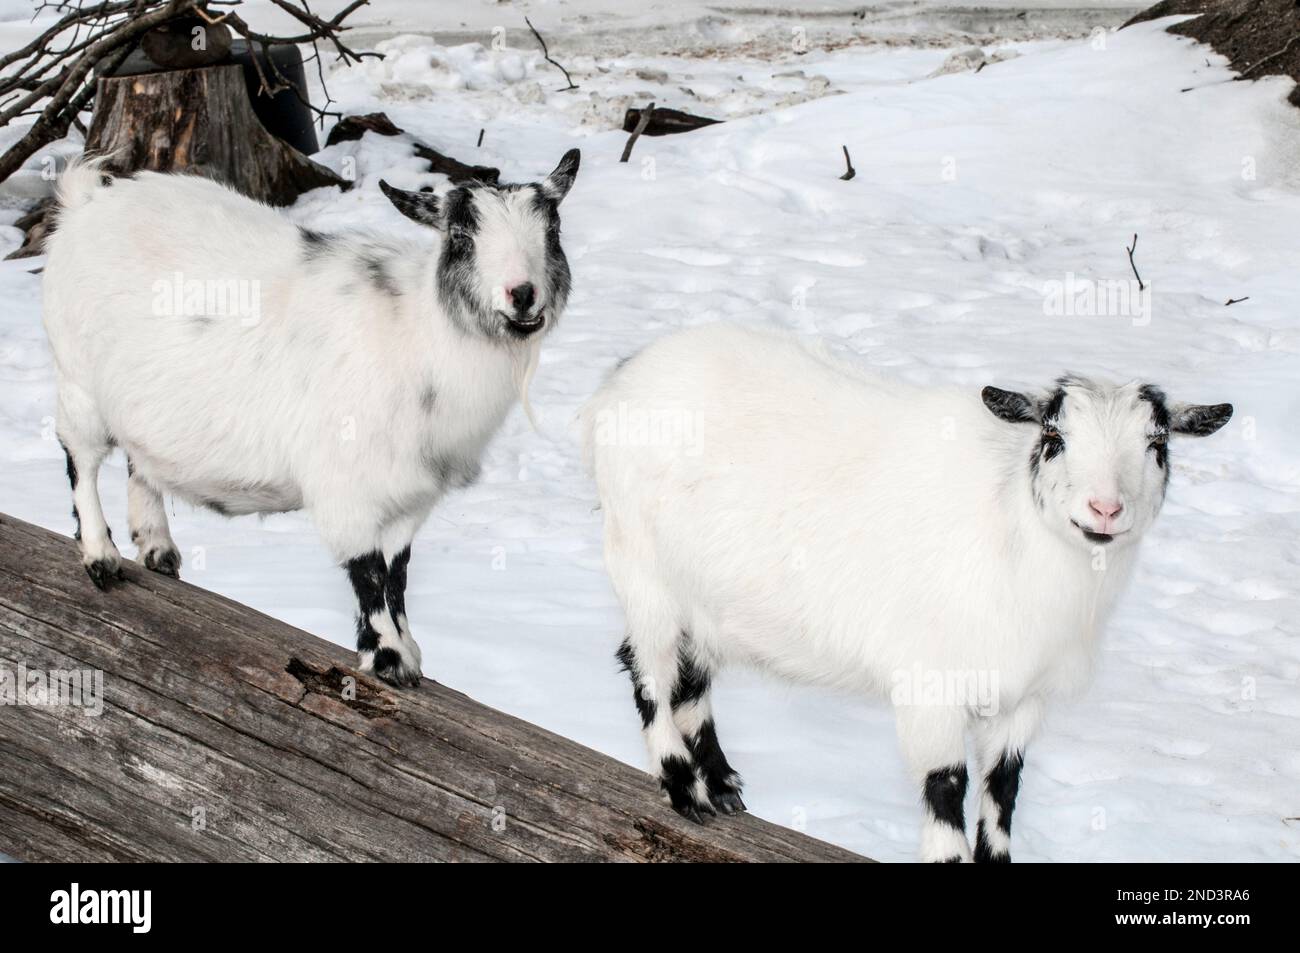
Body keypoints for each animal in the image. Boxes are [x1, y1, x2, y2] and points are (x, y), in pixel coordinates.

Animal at [41, 149, 580, 687]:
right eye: (461, 237)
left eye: (552, 229)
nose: (522, 295)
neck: (417, 330)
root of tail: (87, 200)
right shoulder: (346, 486)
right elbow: (368, 571)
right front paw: (387, 657)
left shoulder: (411, 495)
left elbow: (398, 572)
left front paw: (406, 650)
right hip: (78, 383)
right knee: (80, 461)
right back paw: (101, 557)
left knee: (139, 462)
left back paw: (157, 548)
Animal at [580, 323, 1233, 861]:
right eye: (1054, 437)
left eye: (1158, 445)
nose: (1105, 509)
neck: (1014, 530)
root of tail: (626, 372)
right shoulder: (930, 684)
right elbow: (946, 786)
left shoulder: (1024, 696)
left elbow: (1002, 791)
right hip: (641, 566)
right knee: (645, 665)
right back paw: (681, 785)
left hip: (704, 597)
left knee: (688, 677)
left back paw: (720, 784)